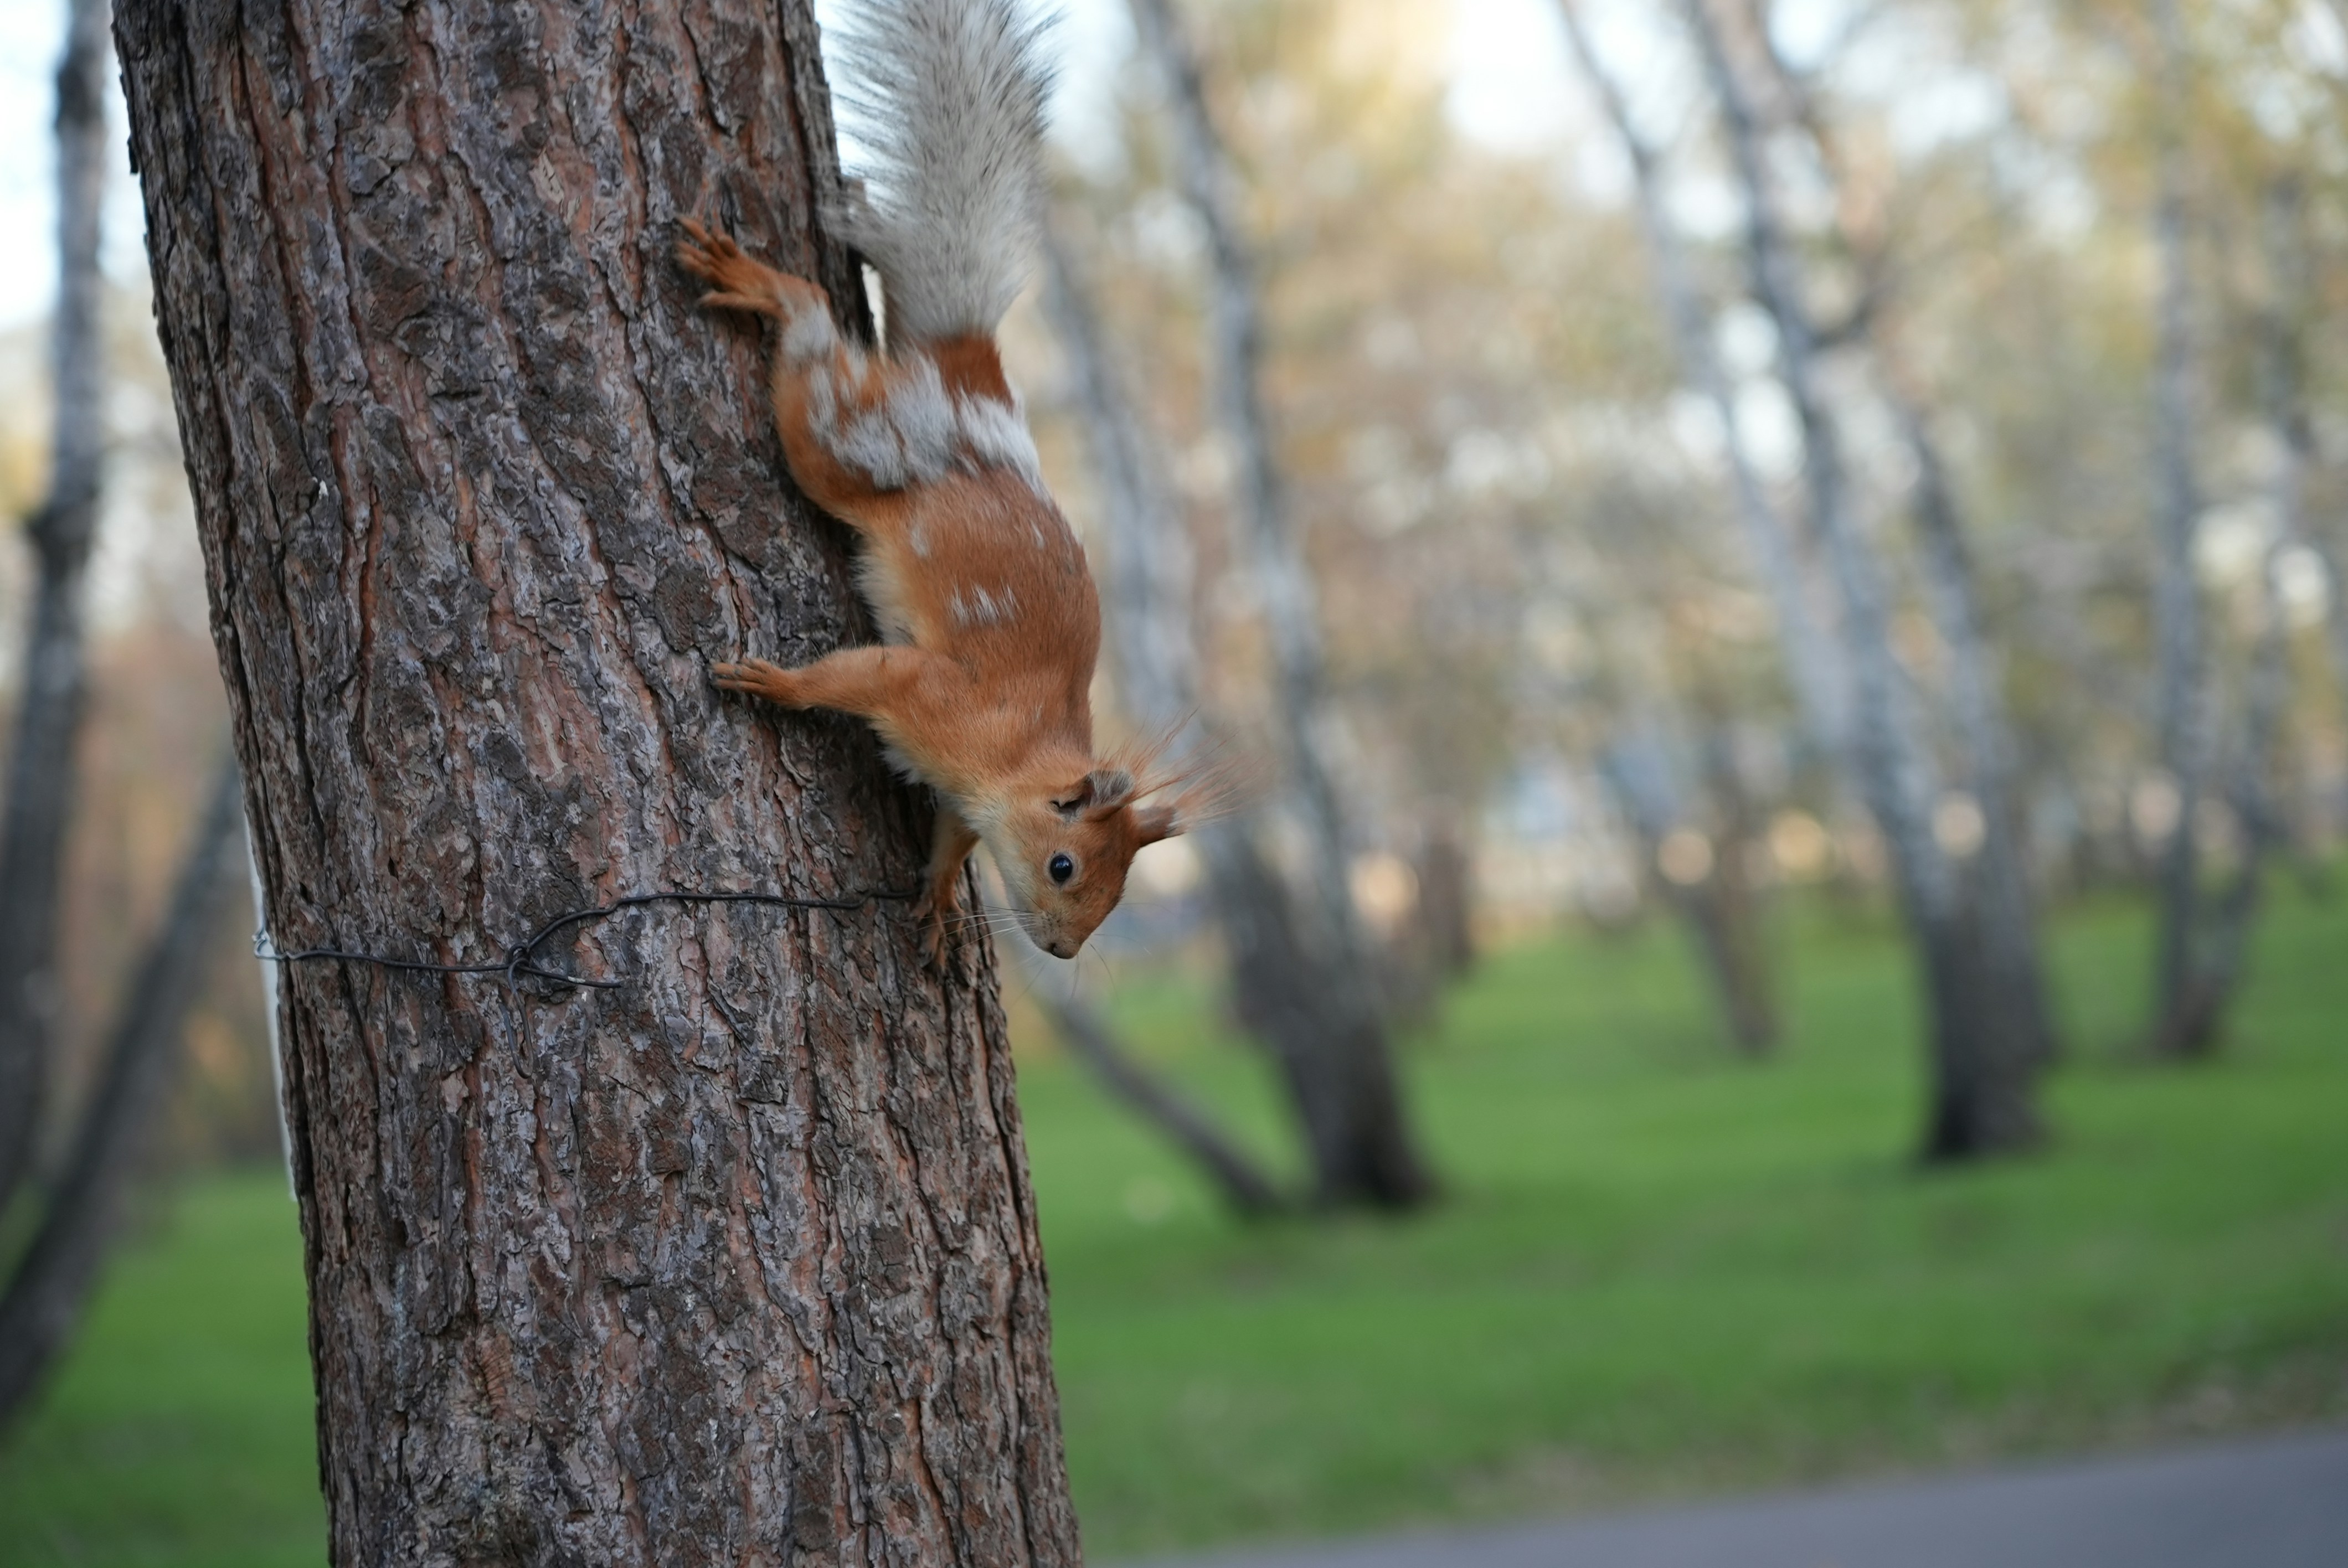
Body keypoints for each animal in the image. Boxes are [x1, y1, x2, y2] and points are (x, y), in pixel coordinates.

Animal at [679, 0, 1209, 964]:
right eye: (1065, 867)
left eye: (1118, 892)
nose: (1064, 952)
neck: (1018, 756)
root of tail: (976, 394)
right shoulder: (927, 693)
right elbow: (858, 676)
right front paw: (779, 686)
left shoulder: (965, 799)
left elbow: (952, 842)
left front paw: (933, 898)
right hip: (848, 449)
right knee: (813, 326)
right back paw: (769, 287)